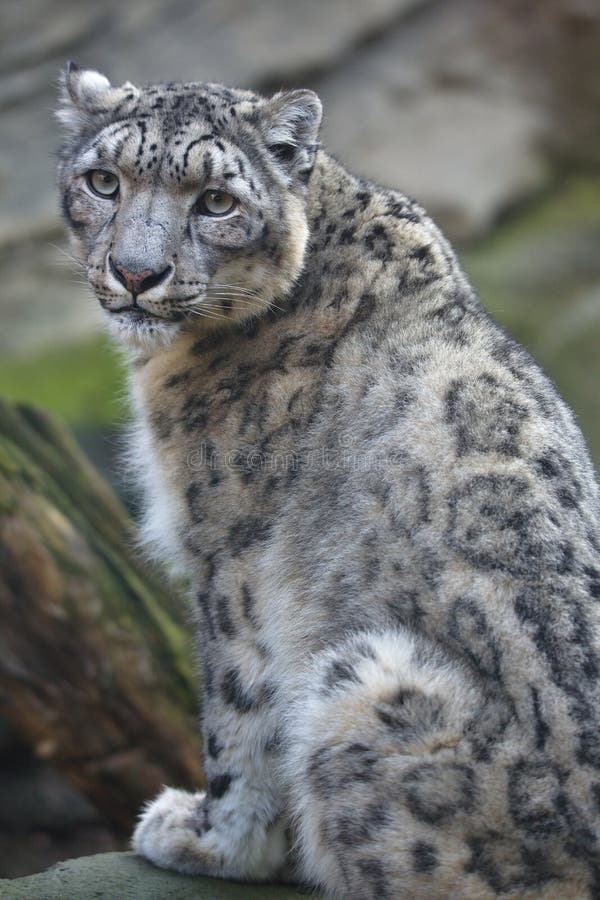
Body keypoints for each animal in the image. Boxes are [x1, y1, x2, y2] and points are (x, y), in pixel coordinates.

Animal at [57, 63, 600, 898]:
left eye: (216, 200)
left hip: (363, 678)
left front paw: (212, 841)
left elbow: (238, 713)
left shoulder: (228, 553)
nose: (137, 274)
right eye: (103, 181)